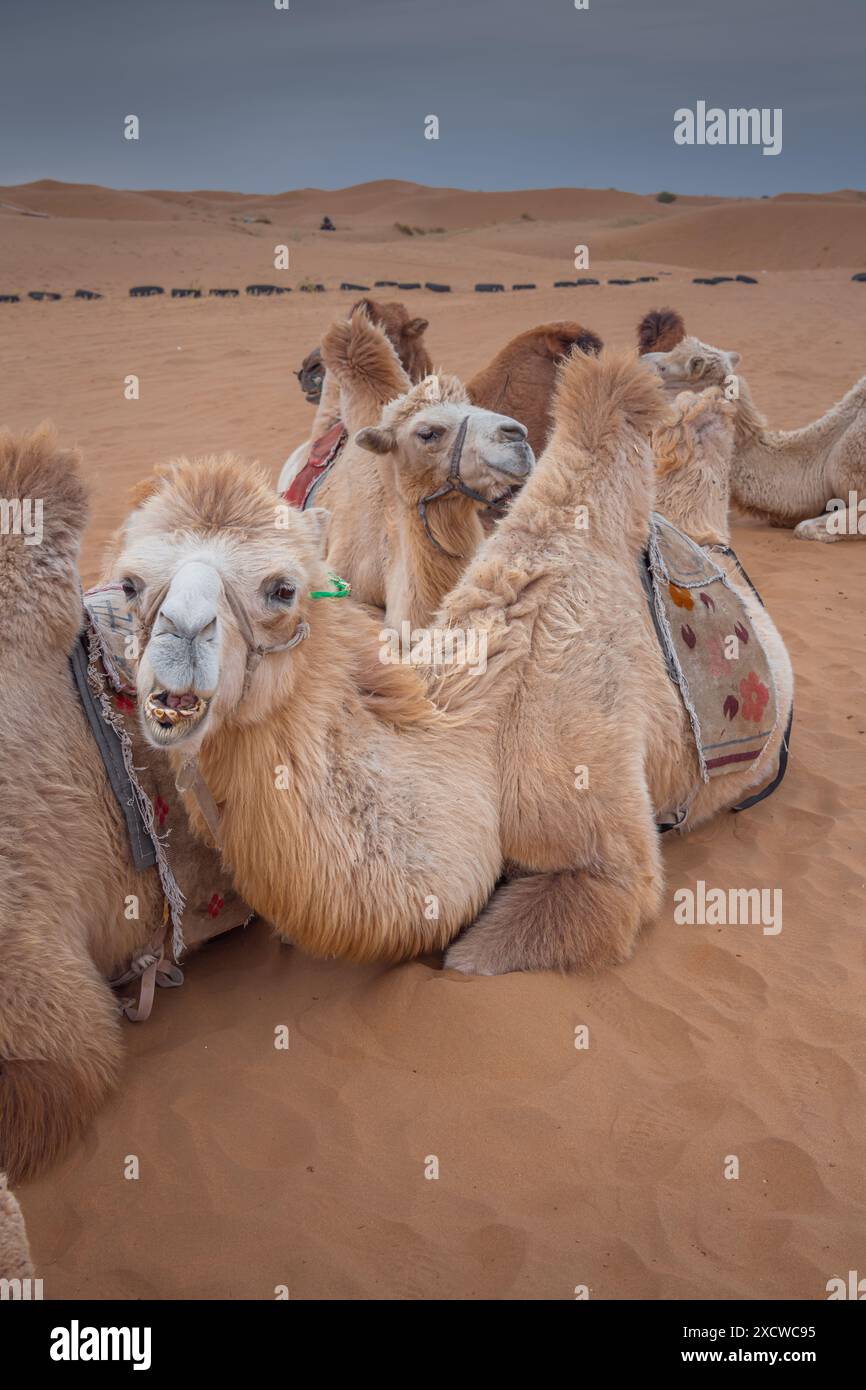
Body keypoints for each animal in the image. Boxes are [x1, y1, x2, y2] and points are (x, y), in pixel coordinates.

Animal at [112, 348, 792, 981]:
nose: (179, 642)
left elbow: (474, 958)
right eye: (128, 585)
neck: (483, 741)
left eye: (281, 589)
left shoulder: (608, 859)